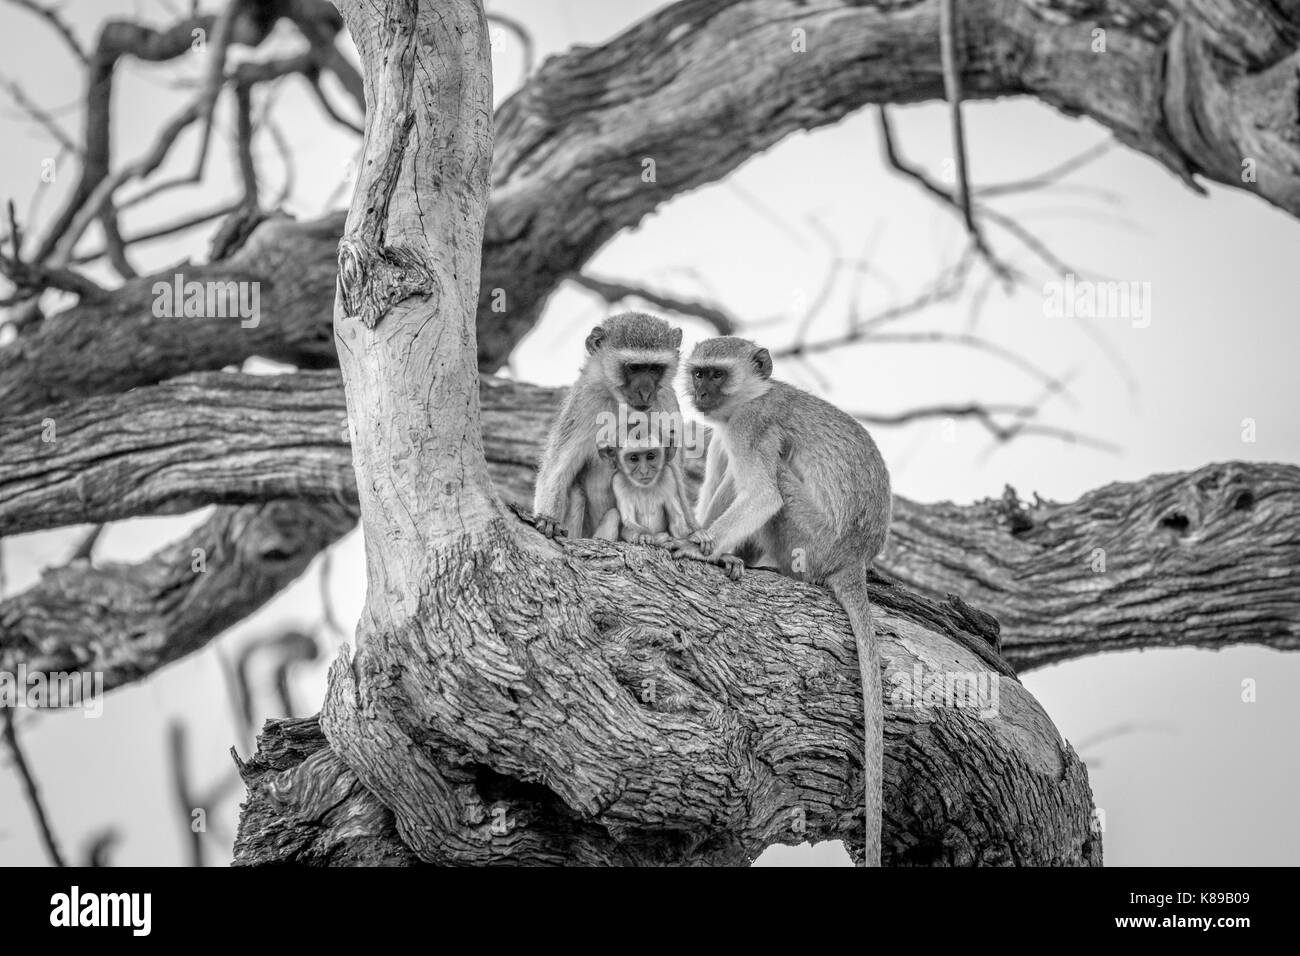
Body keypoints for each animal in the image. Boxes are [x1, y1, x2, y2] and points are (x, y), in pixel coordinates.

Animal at [532, 311, 708, 550]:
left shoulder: (666, 403)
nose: (645, 392)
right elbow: (558, 468)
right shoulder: (584, 403)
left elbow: (673, 474)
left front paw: (695, 532)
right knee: (575, 491)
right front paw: (548, 519)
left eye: (654, 368)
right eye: (634, 367)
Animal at [674, 336, 892, 866]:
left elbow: (763, 496)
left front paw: (697, 549)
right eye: (698, 373)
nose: (700, 394)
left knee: (775, 484)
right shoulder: (724, 432)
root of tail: (853, 558)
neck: (752, 395)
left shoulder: (751, 428)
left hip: (807, 539)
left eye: (716, 374)